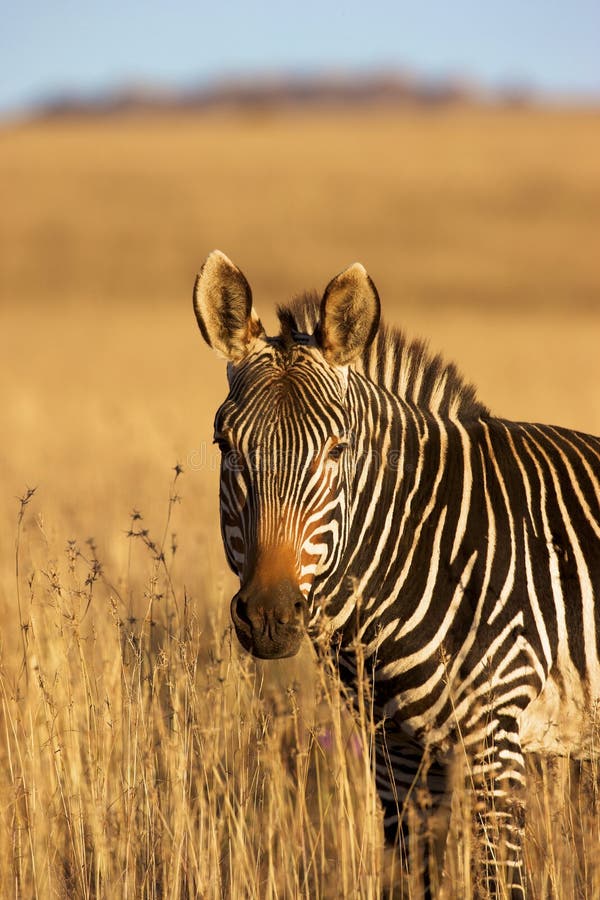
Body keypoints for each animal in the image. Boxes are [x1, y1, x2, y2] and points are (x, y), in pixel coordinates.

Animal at [193, 249, 600, 897]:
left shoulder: (495, 738)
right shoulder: (398, 749)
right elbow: (412, 876)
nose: (269, 616)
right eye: (224, 444)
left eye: (337, 450)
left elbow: (499, 881)